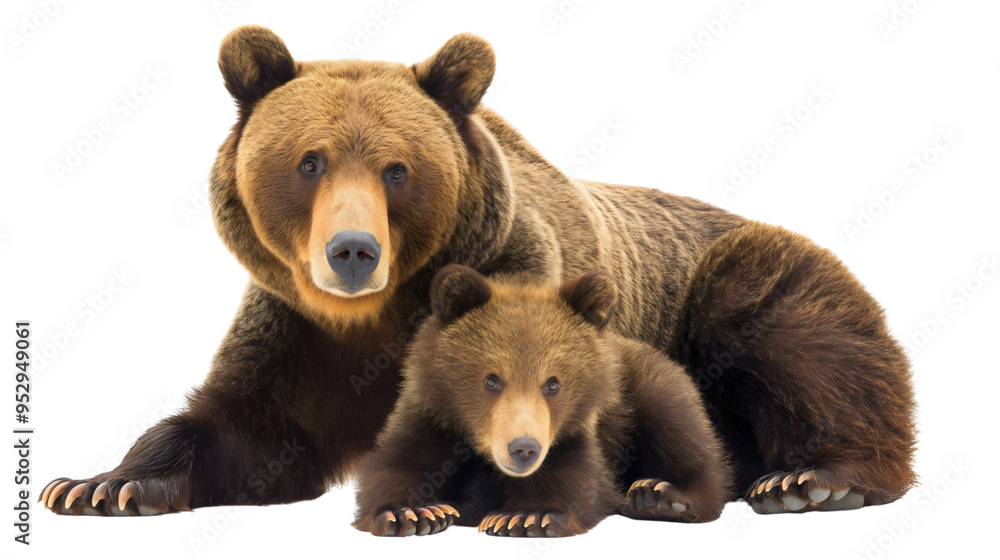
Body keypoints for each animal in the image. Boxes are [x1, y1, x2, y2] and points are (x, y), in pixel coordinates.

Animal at [353, 265, 732, 537]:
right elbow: (396, 465)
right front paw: (415, 512)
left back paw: (660, 495)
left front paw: (523, 517)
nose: (524, 449)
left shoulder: (576, 430)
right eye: (491, 379)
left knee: (679, 428)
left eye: (553, 383)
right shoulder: (433, 415)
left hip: (646, 387)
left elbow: (576, 479)